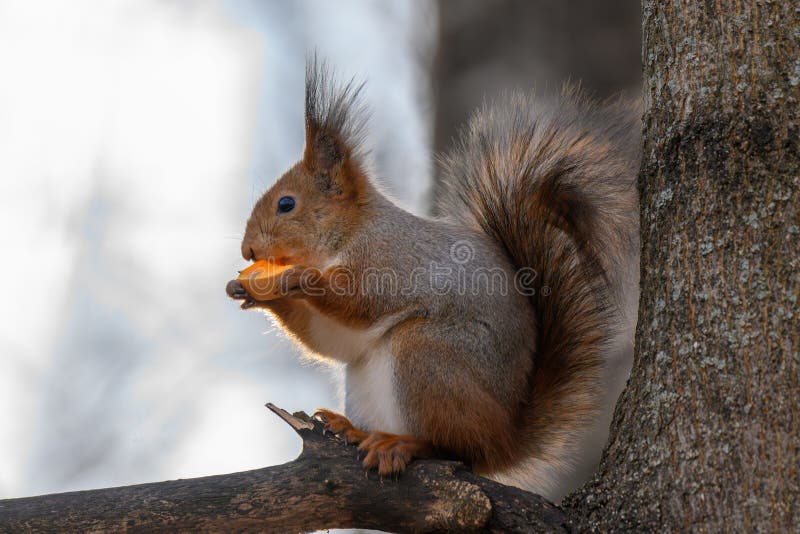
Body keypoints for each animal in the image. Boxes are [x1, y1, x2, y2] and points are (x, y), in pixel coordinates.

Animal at [226, 60, 641, 502]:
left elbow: (361, 300)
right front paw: (250, 293)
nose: (248, 250)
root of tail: (505, 441)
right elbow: (333, 339)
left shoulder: (393, 261)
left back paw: (401, 445)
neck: (349, 236)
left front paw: (296, 278)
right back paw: (352, 429)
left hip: (427, 358)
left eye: (286, 204)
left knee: (456, 449)